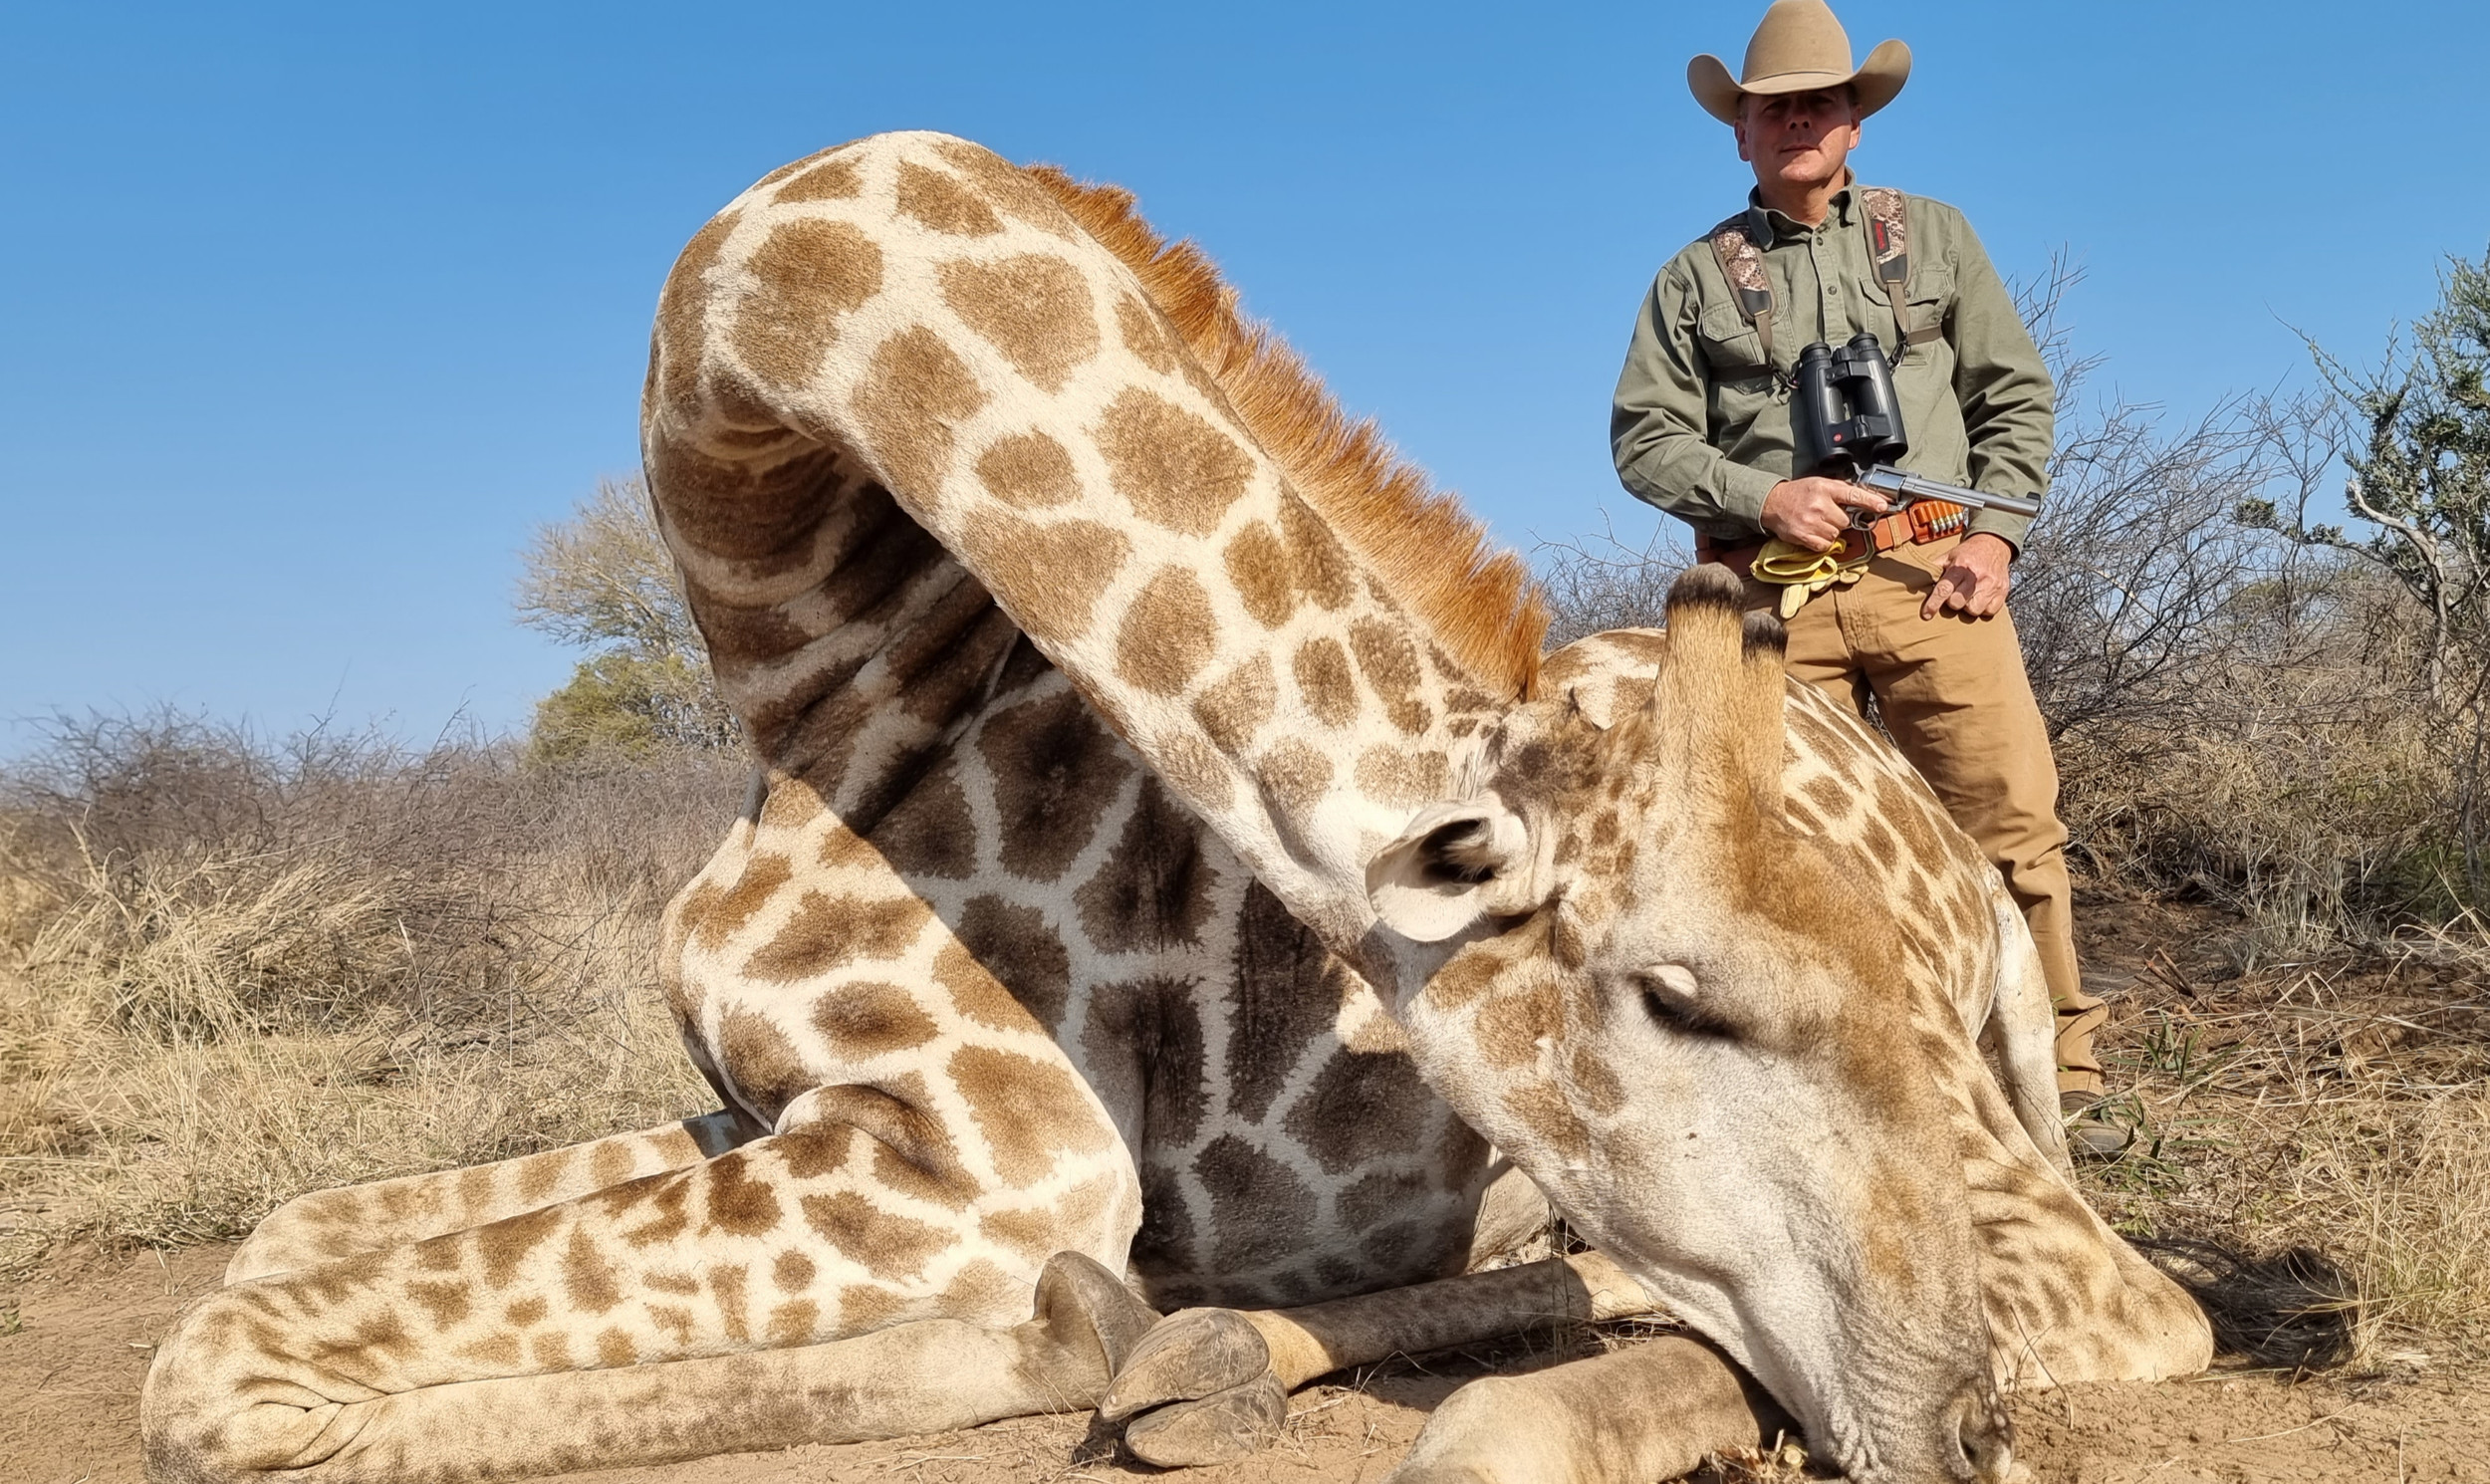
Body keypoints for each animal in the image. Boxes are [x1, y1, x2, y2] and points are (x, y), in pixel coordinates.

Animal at [139, 131, 2212, 1484]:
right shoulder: (761, 1104)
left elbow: (215, 1369)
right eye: (1678, 996)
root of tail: (1964, 876)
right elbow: (278, 1248)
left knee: (2134, 1314)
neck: (823, 675)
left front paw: (1053, 1332)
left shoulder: (979, 1162)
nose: (1952, 1422)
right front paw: (1108, 1332)